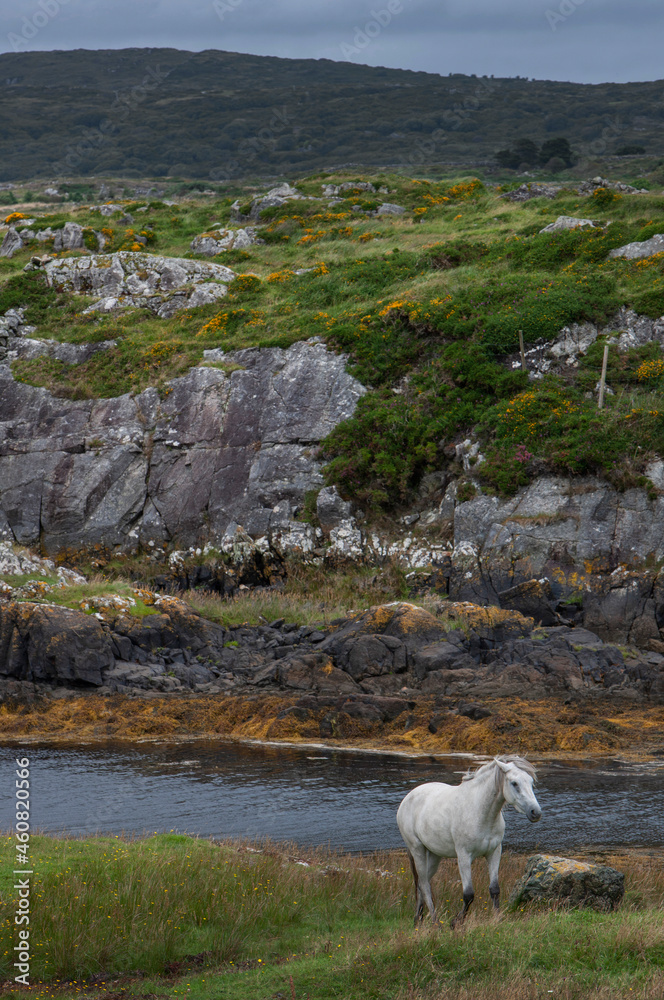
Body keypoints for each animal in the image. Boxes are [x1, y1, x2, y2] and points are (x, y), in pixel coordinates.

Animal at [396, 756, 541, 928]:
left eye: (531, 782)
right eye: (514, 783)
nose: (535, 812)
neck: (480, 812)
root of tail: (407, 798)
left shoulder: (494, 852)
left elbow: (494, 889)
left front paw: (497, 919)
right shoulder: (464, 856)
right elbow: (468, 894)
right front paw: (456, 922)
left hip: (434, 855)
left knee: (421, 884)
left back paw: (418, 921)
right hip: (417, 849)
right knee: (424, 885)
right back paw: (436, 923)